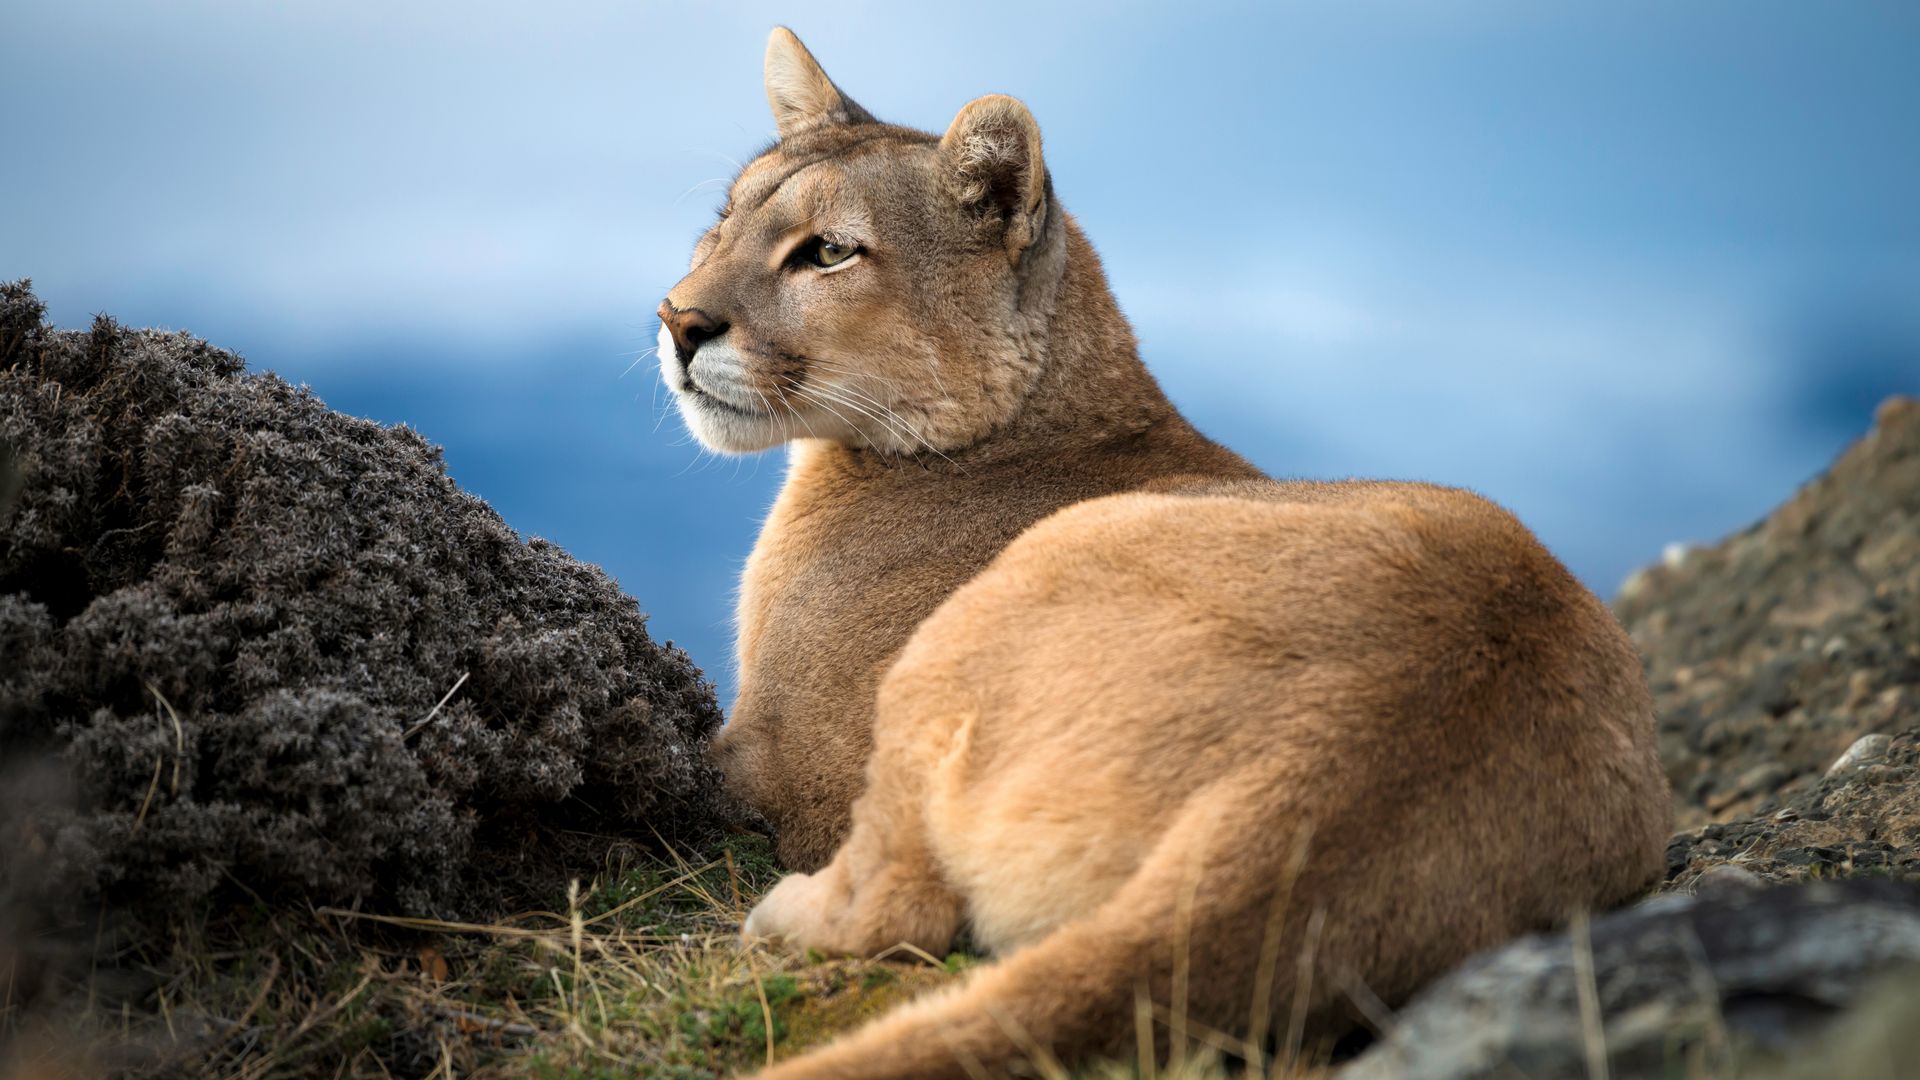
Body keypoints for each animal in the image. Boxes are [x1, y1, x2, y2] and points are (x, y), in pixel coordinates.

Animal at [654, 28, 1670, 1078]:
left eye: (829, 252)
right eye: (723, 219)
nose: (676, 320)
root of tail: (1321, 781)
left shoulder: (779, 762)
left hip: (991, 617)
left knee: (898, 908)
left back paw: (782, 914)